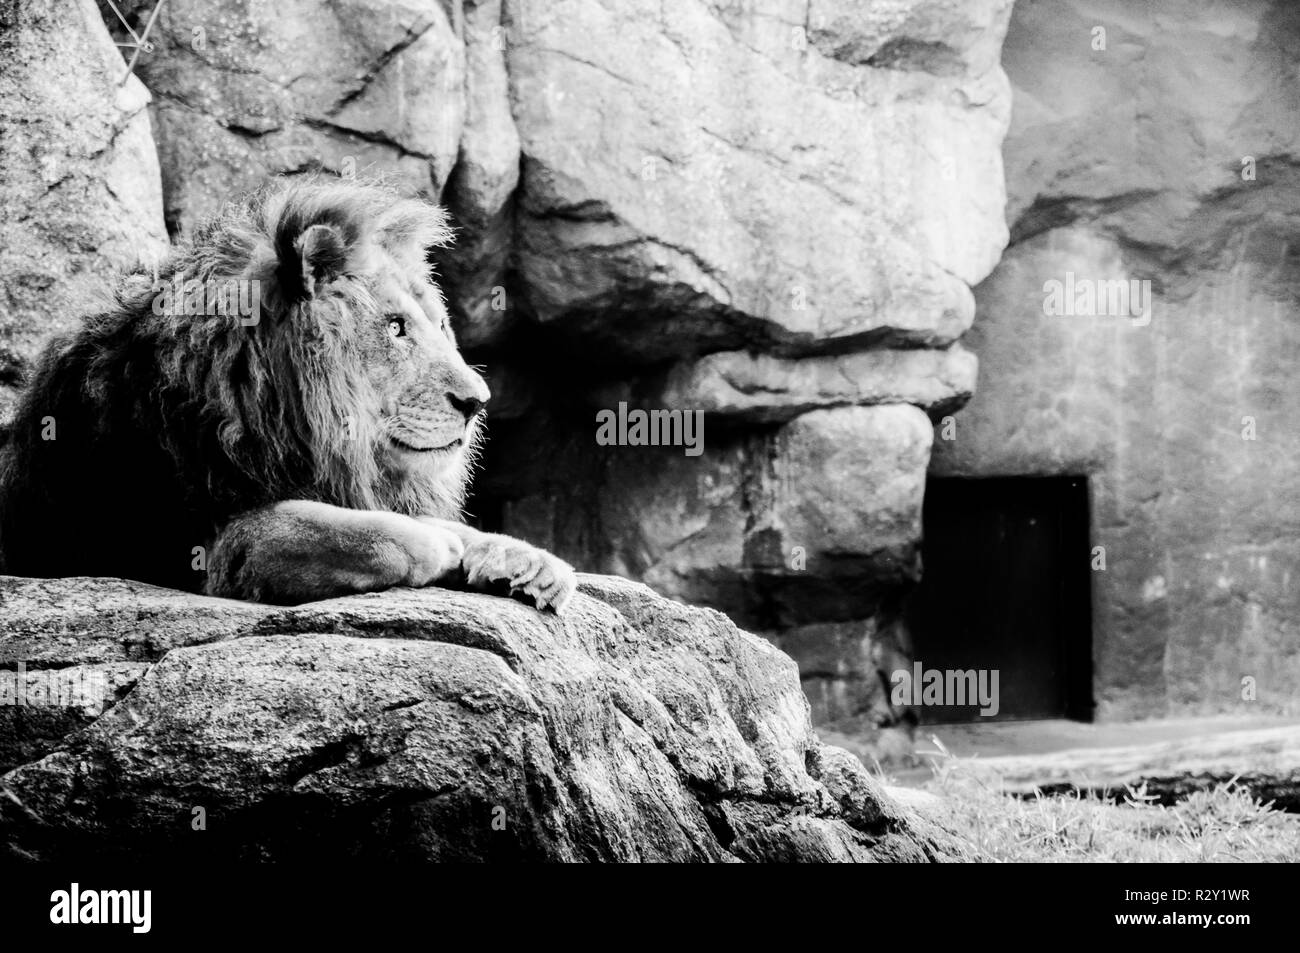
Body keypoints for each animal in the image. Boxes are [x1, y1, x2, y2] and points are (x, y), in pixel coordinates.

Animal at [0, 177, 575, 611]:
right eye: (395, 327)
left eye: (438, 325)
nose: (477, 401)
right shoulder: (193, 546)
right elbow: (304, 523)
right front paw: (435, 542)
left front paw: (528, 560)